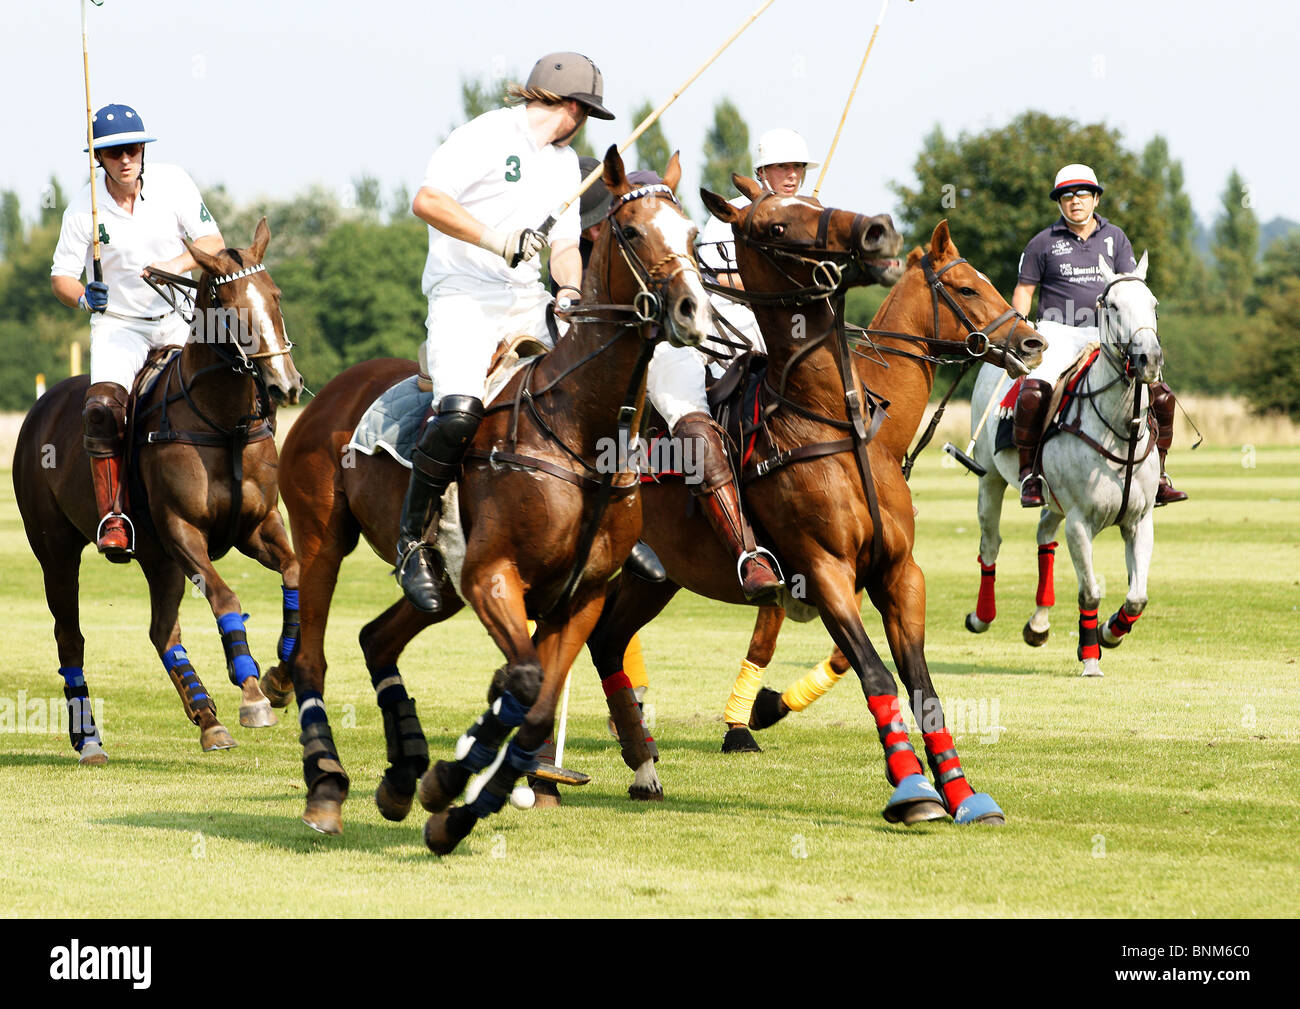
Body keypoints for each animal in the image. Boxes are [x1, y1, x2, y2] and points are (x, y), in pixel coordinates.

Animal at [13, 218, 304, 760]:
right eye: (228, 305)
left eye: (275, 295)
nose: (285, 386)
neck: (223, 423)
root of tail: (42, 405)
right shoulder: (182, 530)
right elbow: (226, 598)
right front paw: (253, 693)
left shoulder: (258, 525)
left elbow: (295, 573)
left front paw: (279, 679)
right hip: (56, 549)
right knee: (69, 635)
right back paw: (89, 738)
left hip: (156, 558)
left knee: (161, 630)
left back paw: (207, 717)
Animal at [259, 146, 711, 846]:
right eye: (634, 231)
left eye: (692, 235)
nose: (693, 311)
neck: (579, 433)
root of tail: (324, 394)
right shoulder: (492, 573)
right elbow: (521, 679)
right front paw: (452, 782)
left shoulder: (580, 596)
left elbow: (536, 704)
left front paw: (455, 804)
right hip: (322, 543)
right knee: (311, 658)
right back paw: (327, 787)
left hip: (443, 585)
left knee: (377, 638)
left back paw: (402, 776)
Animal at [586, 184, 1043, 825]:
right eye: (967, 287)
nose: (1033, 341)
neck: (833, 417)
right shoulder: (821, 571)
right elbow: (873, 671)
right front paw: (911, 789)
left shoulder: (899, 572)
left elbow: (918, 684)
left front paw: (962, 793)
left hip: (657, 577)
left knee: (607, 639)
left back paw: (641, 766)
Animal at [963, 253, 1162, 677]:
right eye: (1112, 305)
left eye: (1153, 304)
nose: (1149, 359)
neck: (1120, 430)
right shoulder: (1080, 522)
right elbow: (1090, 592)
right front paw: (1090, 656)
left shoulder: (1140, 521)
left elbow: (1137, 597)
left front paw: (1110, 631)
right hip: (990, 479)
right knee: (990, 544)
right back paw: (981, 616)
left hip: (1052, 497)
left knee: (1043, 536)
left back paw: (1039, 623)